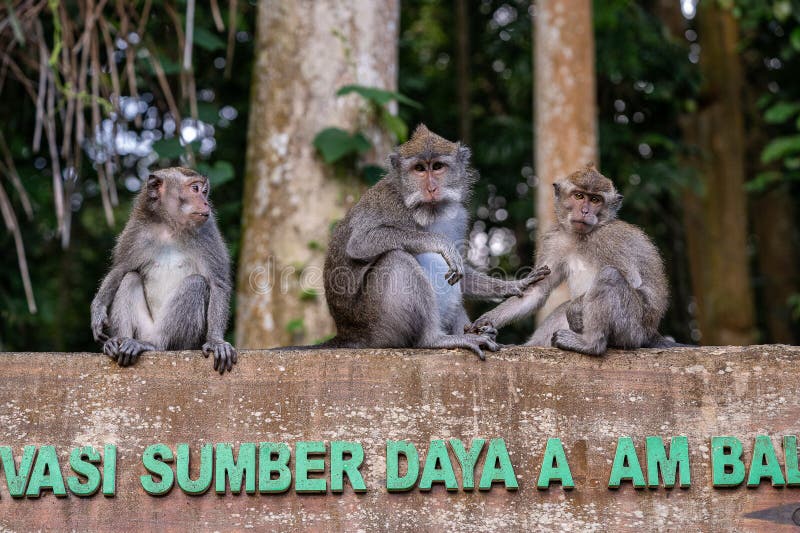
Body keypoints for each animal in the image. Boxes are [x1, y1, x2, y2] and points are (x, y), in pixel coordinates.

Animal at [90, 167, 237, 373]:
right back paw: (118, 342)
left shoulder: (207, 231)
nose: (206, 202)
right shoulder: (136, 232)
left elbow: (217, 283)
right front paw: (98, 310)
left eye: (204, 191)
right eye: (195, 189)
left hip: (180, 342)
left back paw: (154, 346)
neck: (170, 227)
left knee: (195, 283)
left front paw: (216, 341)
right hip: (144, 329)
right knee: (130, 278)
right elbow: (120, 270)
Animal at [316, 124, 551, 360]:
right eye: (419, 169)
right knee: (397, 258)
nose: (431, 189)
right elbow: (360, 243)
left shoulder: (458, 217)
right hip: (377, 326)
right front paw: (440, 243)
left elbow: (460, 273)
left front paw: (512, 285)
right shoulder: (389, 204)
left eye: (437, 167)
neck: (430, 210)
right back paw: (434, 339)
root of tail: (349, 335)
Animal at [467, 163, 679, 355]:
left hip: (631, 331)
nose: (585, 211)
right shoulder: (555, 241)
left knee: (610, 276)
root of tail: (650, 334)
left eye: (595, 200)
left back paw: (590, 344)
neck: (581, 236)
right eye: (579, 196)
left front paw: (574, 309)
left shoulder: (610, 240)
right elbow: (537, 292)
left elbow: (633, 280)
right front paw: (485, 321)